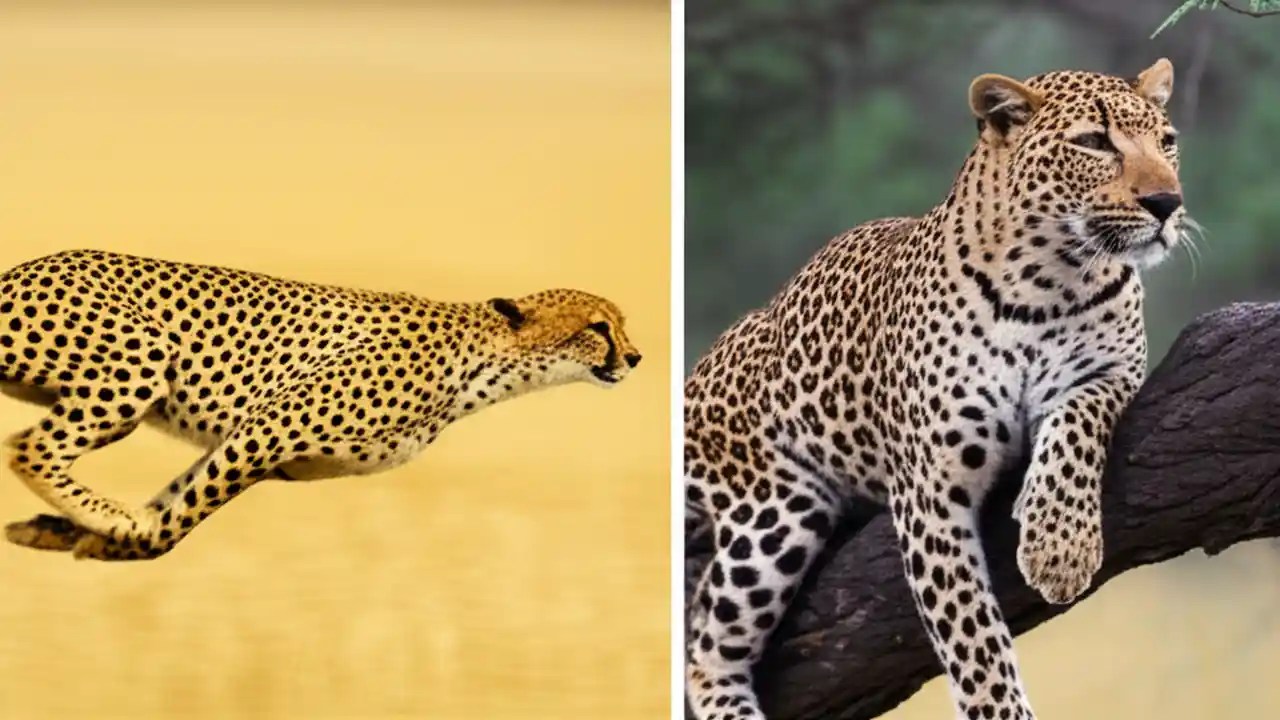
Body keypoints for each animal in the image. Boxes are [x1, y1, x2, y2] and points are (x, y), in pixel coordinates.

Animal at [0, 249, 641, 561]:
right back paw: (108, 510)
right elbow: (180, 519)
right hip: (142, 362)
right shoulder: (267, 431)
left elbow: (178, 500)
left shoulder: (265, 452)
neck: (479, 363)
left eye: (620, 325)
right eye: (597, 328)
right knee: (29, 446)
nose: (635, 357)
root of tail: (24, 268)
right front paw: (121, 530)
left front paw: (76, 535)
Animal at [684, 59, 1187, 720]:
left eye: (1167, 142)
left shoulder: (1110, 374)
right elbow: (975, 643)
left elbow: (1076, 424)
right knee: (705, 646)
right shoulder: (930, 493)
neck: (1051, 282)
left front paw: (1059, 545)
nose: (1167, 203)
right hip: (776, 513)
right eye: (1094, 143)